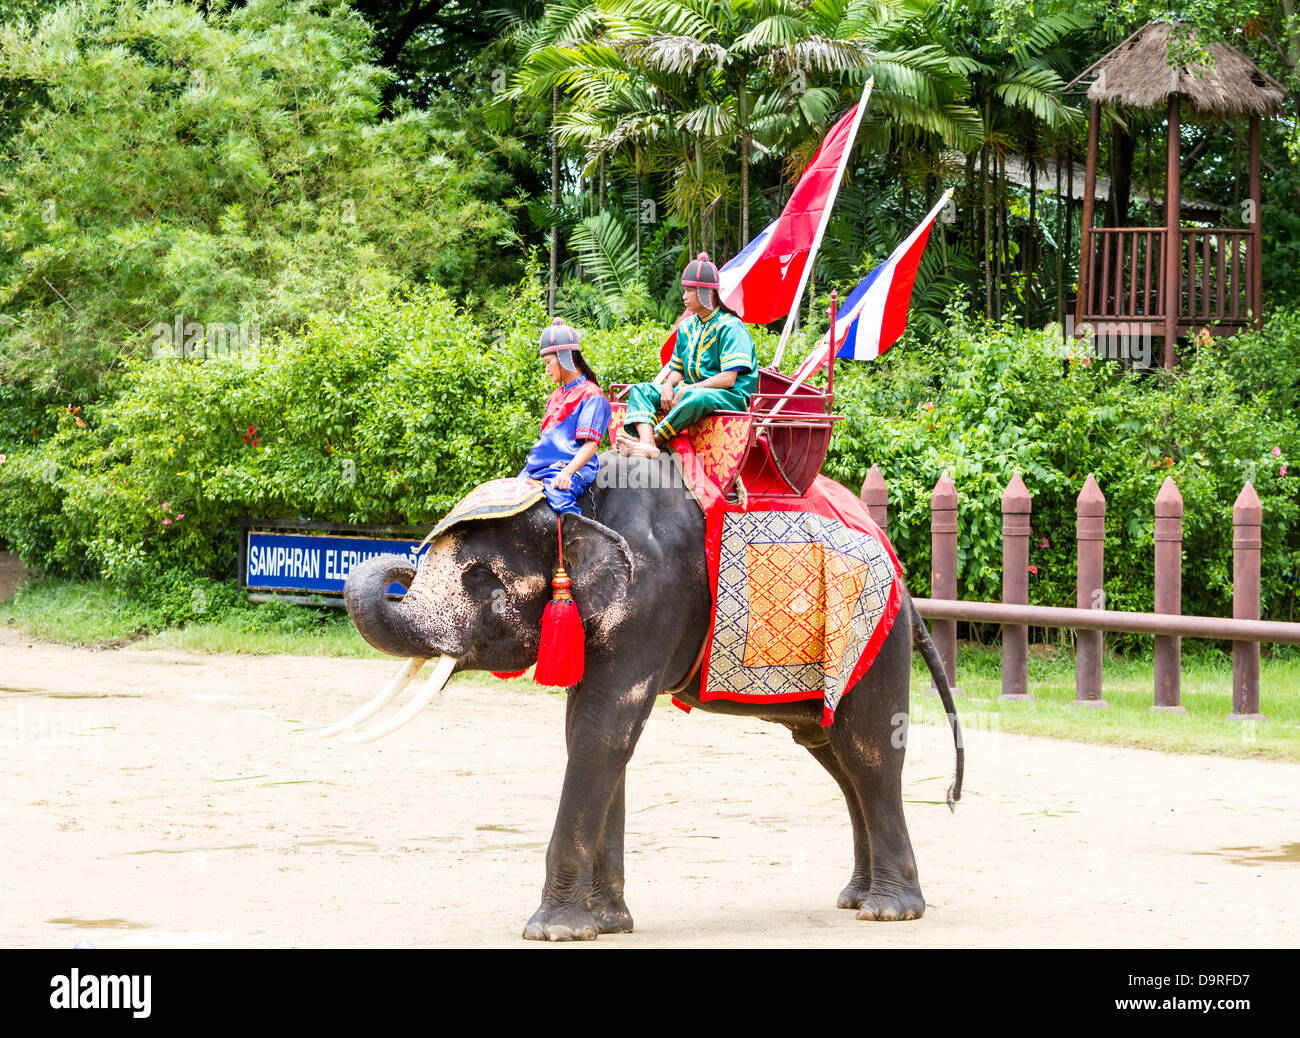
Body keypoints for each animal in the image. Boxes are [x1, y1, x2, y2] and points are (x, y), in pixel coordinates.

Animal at [334, 450, 962, 941]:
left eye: (479, 576)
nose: (397, 572)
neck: (576, 502)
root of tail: (906, 582)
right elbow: (591, 734)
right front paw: (606, 924)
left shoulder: (650, 595)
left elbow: (603, 730)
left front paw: (553, 929)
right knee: (832, 754)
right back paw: (855, 899)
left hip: (871, 638)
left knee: (868, 750)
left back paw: (889, 912)